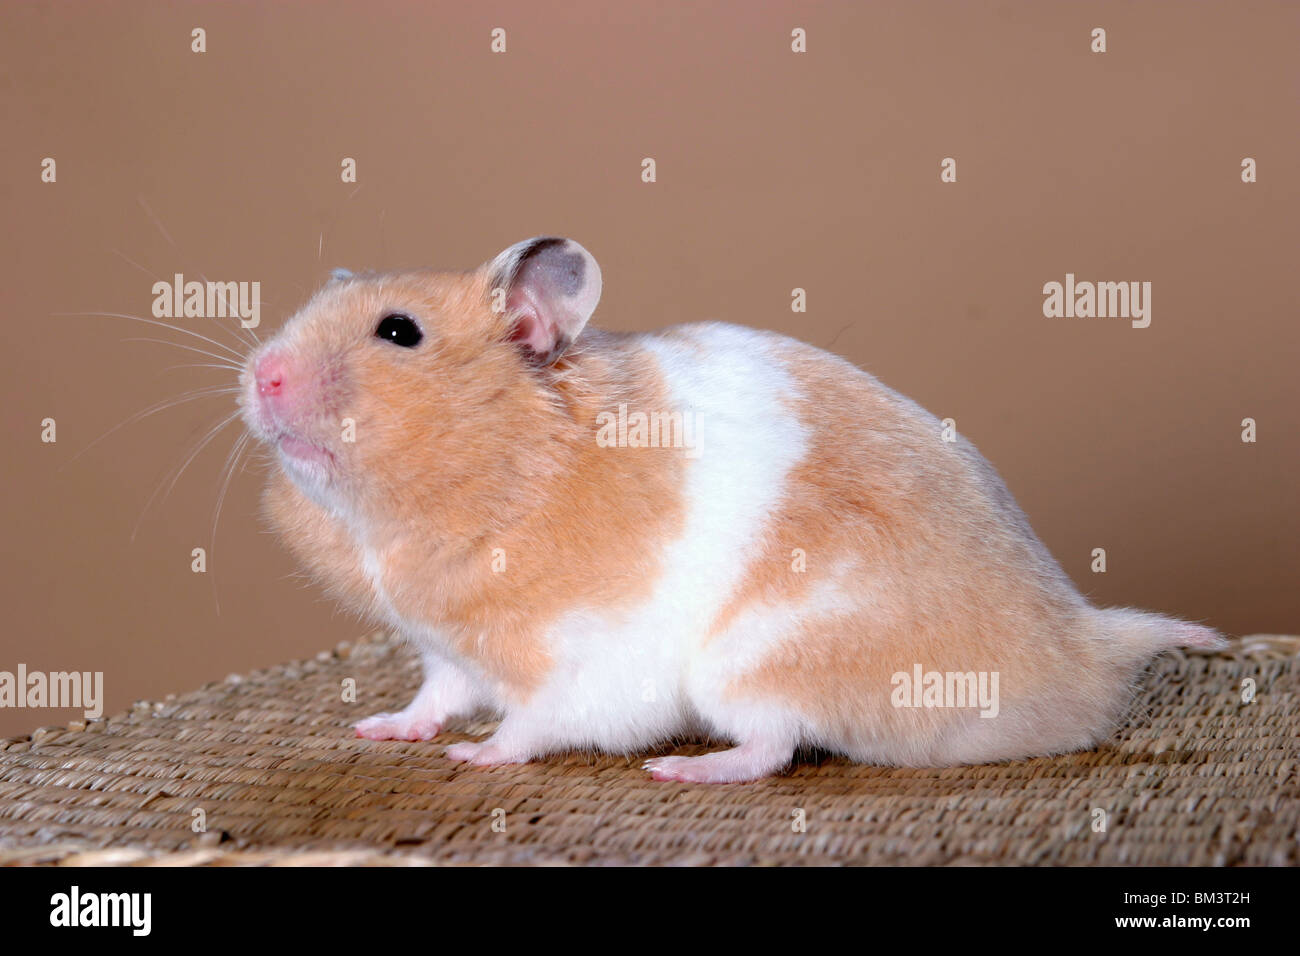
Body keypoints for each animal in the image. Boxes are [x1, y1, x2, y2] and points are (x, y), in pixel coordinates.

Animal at [238, 236, 1225, 783]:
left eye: (398, 332)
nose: (259, 376)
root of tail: (1084, 656)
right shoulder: (445, 650)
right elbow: (435, 694)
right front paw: (381, 729)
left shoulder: (590, 661)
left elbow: (534, 722)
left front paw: (474, 757)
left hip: (751, 664)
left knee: (772, 747)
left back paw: (686, 769)